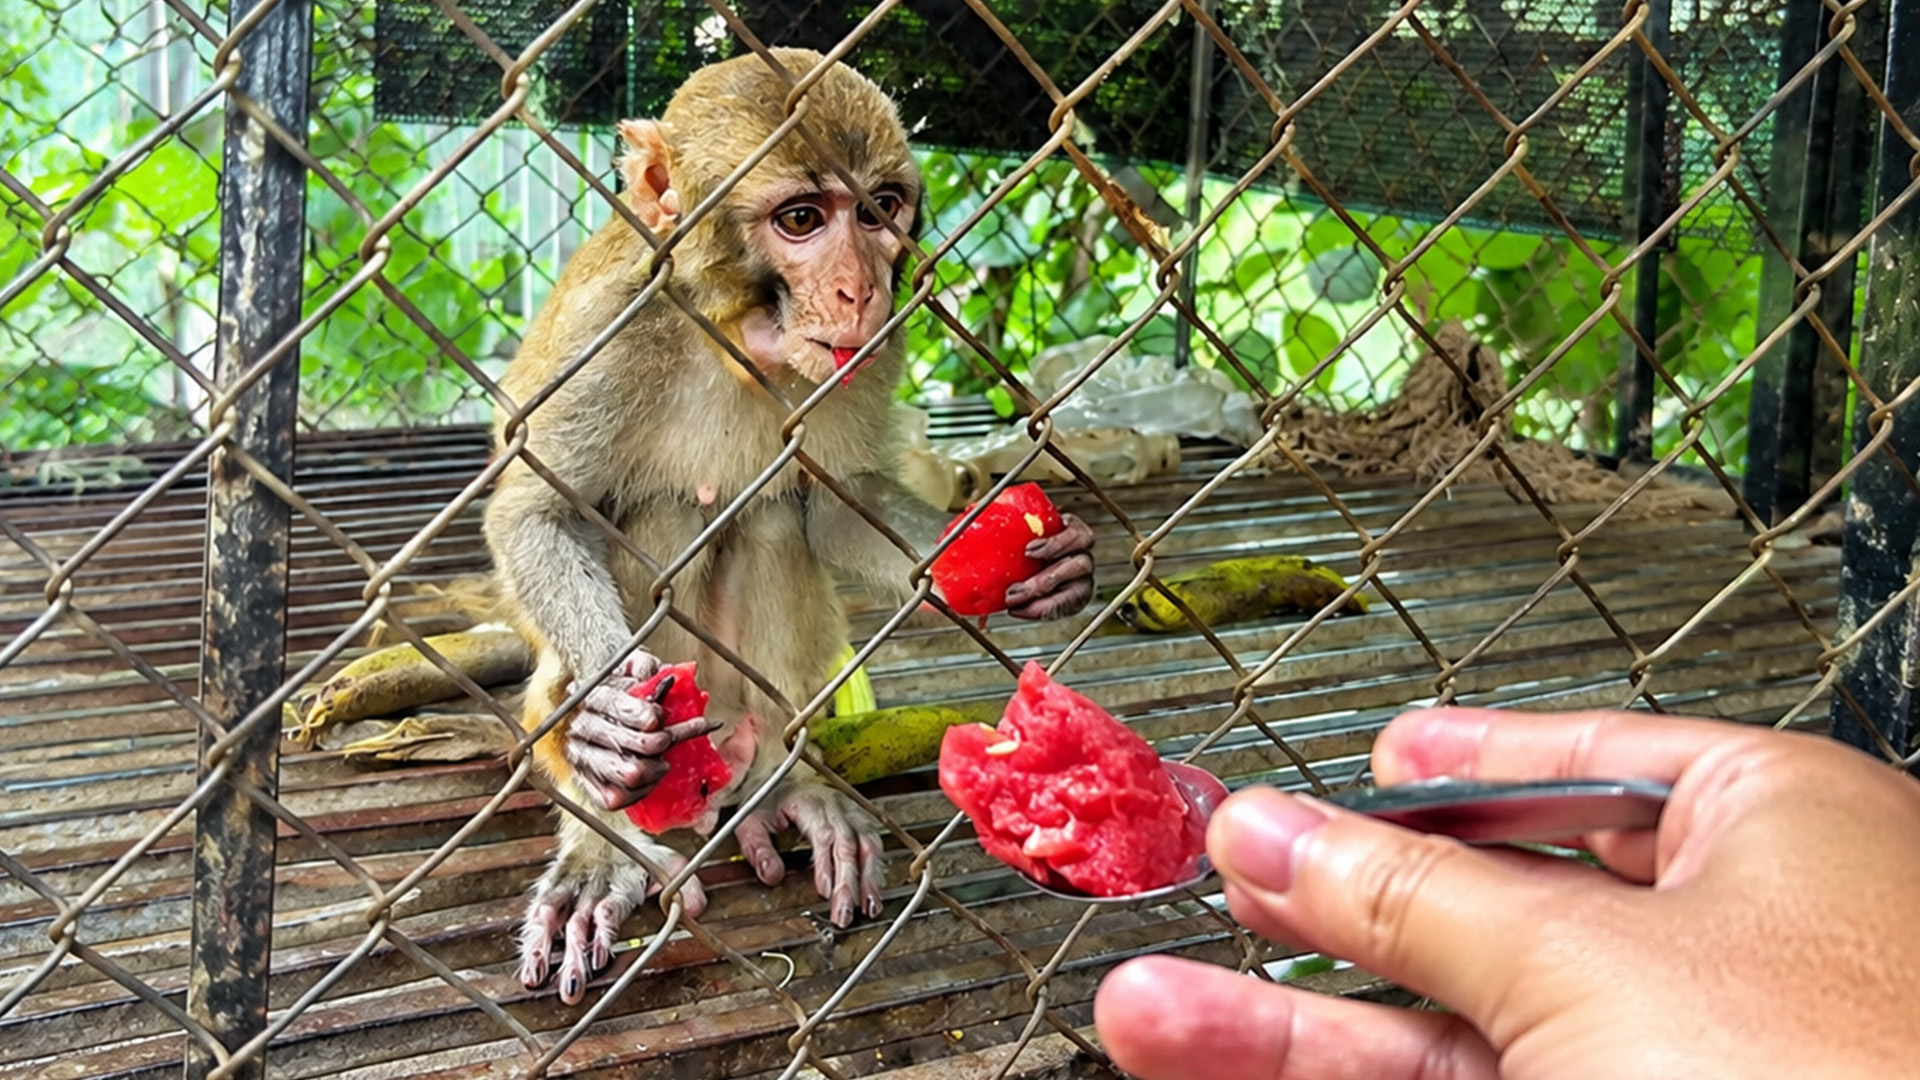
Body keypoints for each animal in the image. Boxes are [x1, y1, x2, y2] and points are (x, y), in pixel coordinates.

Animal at [482, 49, 1098, 1004]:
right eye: (801, 219)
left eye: (880, 209)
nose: (862, 288)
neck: (732, 340)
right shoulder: (612, 329)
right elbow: (535, 512)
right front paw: (607, 715)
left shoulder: (873, 352)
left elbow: (832, 500)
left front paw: (1049, 566)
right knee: (665, 514)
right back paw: (603, 839)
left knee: (769, 523)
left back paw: (783, 784)